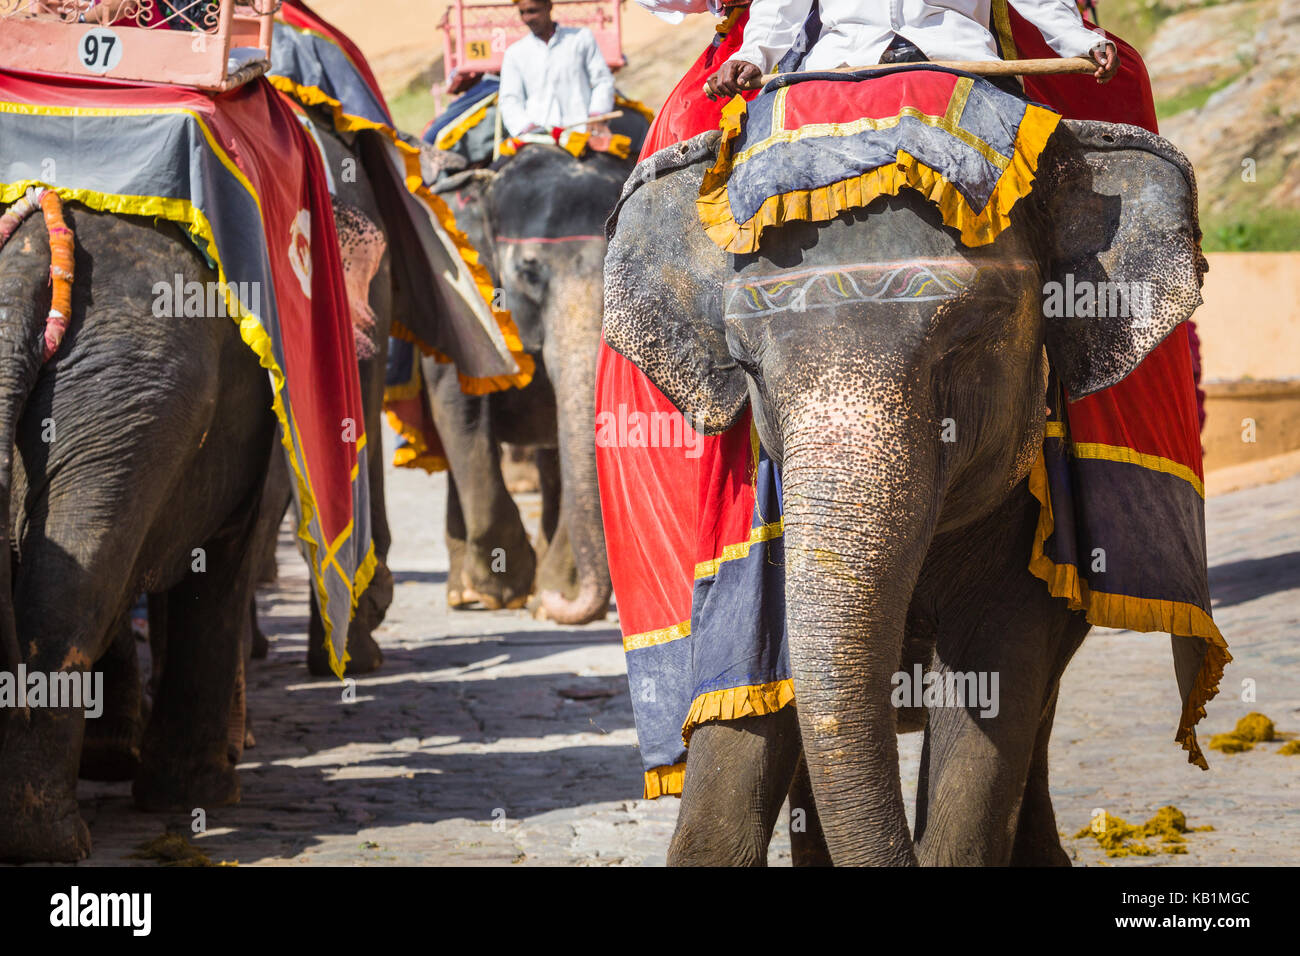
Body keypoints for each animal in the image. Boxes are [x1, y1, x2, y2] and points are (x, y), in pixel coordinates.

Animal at [421, 117, 646, 625]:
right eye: (528, 271)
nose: (564, 602)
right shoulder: (459, 294)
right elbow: (461, 410)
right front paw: (502, 588)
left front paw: (549, 597)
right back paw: (463, 592)